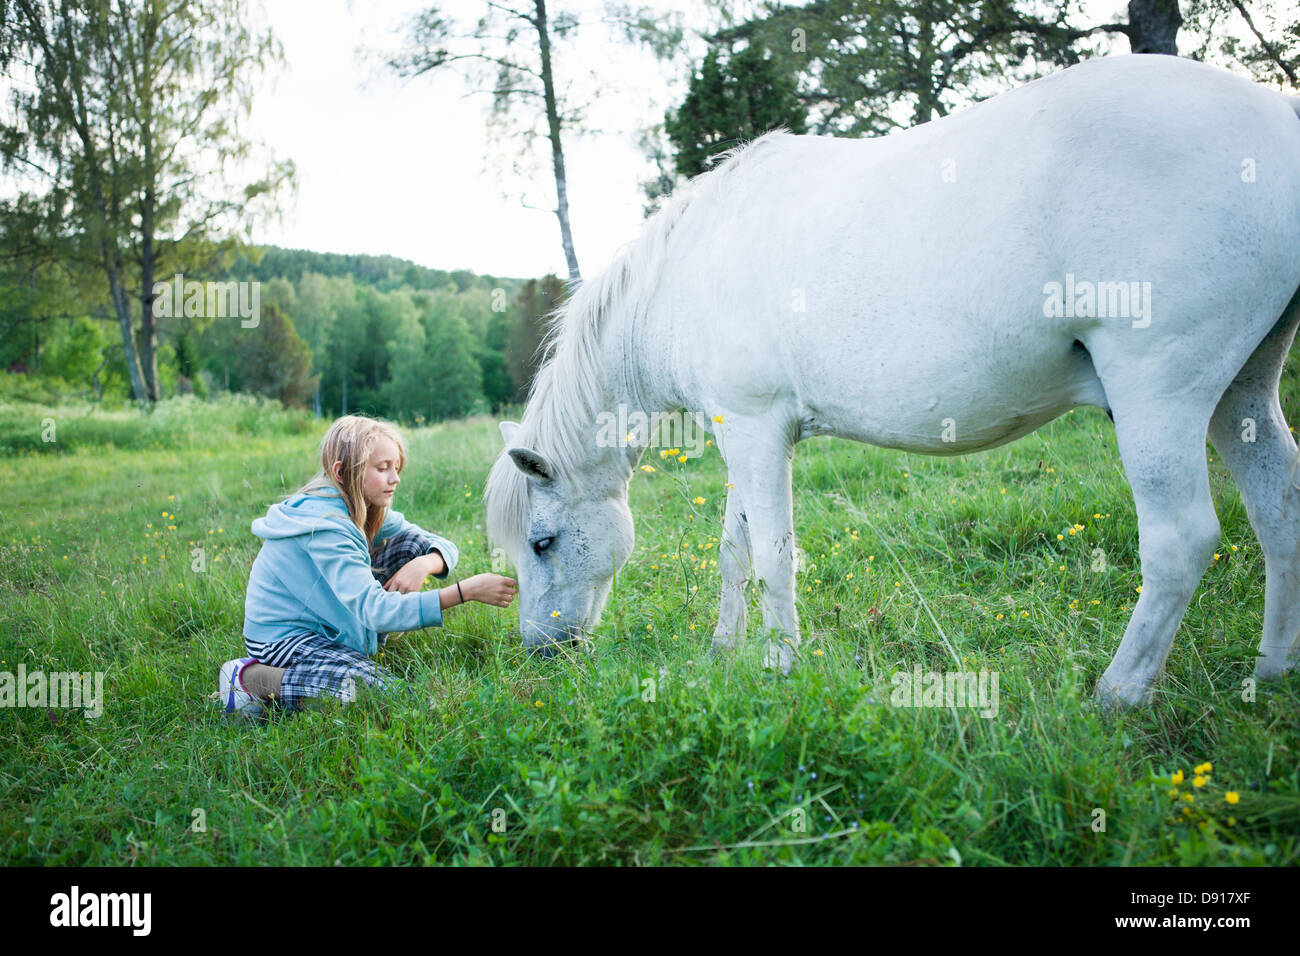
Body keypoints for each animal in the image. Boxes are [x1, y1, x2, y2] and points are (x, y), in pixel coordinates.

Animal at [484, 53, 1300, 707]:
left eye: (543, 542)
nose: (544, 651)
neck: (688, 268)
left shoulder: (754, 428)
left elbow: (773, 554)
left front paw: (781, 665)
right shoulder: (741, 434)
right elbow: (735, 550)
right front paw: (724, 652)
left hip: (1160, 399)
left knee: (1180, 541)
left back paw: (1119, 693)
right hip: (1240, 397)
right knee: (1279, 512)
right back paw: (1270, 675)